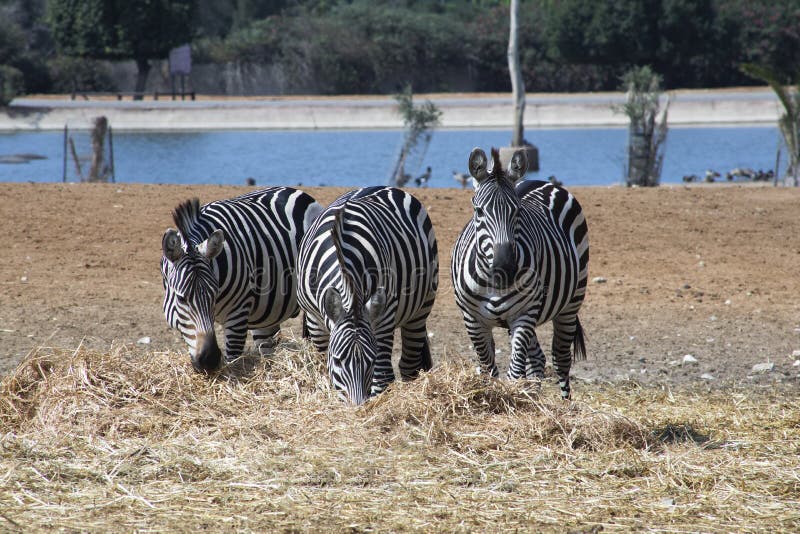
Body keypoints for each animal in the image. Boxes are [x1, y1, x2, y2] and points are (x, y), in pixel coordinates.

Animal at [160, 187, 323, 373]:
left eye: (214, 295)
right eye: (181, 298)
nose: (210, 360)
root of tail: (294, 190)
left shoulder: (237, 315)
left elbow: (234, 361)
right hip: (266, 314)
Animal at [297, 186, 439, 405]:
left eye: (370, 361)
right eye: (337, 360)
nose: (357, 407)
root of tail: (385, 187)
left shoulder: (384, 315)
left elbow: (381, 378)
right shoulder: (314, 318)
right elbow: (322, 369)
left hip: (422, 306)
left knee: (408, 365)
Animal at [450, 147, 589, 399]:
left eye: (518, 211)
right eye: (479, 211)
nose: (505, 268)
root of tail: (541, 181)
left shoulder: (524, 314)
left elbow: (514, 373)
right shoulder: (471, 318)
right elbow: (488, 370)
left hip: (571, 301)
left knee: (560, 359)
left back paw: (565, 405)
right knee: (537, 359)